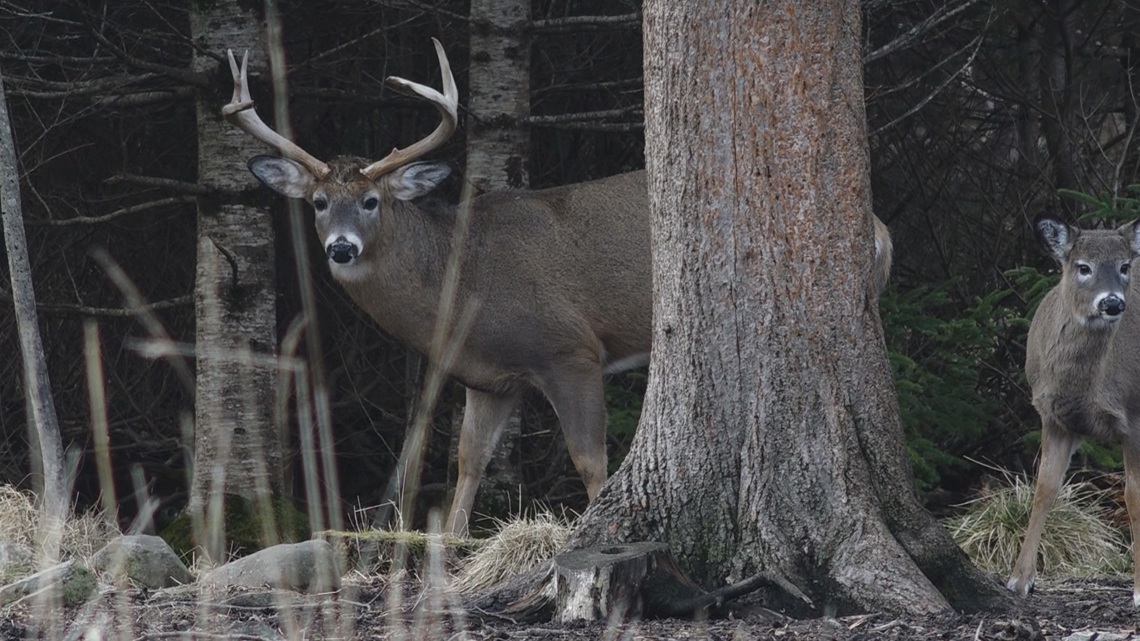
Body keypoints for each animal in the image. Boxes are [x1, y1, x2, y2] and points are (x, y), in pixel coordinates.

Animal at [221, 39, 895, 536]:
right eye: (316, 203)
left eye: (371, 201)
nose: (341, 247)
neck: (462, 283)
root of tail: (881, 229)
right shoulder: (489, 378)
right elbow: (468, 463)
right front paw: (455, 549)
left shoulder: (570, 350)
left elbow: (592, 462)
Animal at [1008, 216, 1140, 606]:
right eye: (1084, 267)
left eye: (1124, 266)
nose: (1112, 303)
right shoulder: (1053, 418)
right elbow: (1044, 488)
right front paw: (1020, 579)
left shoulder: (1134, 415)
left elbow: (1132, 497)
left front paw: (1138, 590)